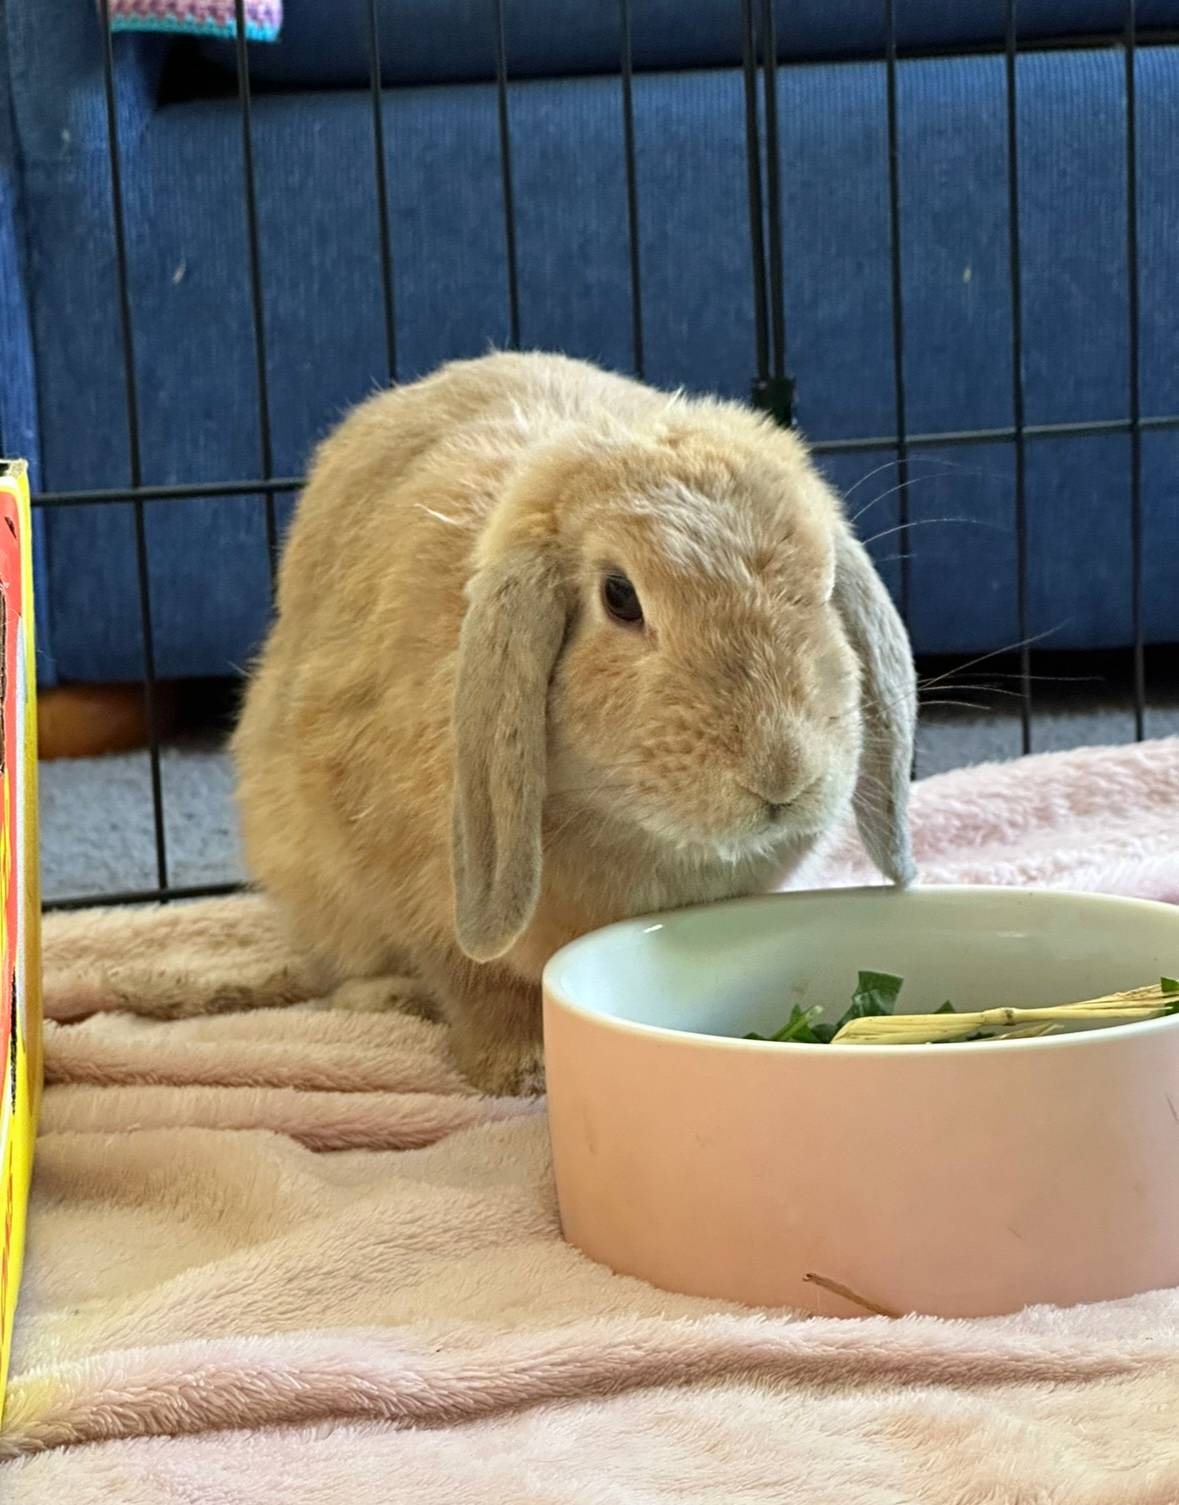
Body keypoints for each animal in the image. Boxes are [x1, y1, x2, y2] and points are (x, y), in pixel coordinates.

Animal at [231, 351, 916, 1095]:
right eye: (619, 597)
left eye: (826, 587)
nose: (782, 775)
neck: (631, 828)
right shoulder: (414, 885)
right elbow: (472, 978)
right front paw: (520, 1071)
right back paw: (386, 998)